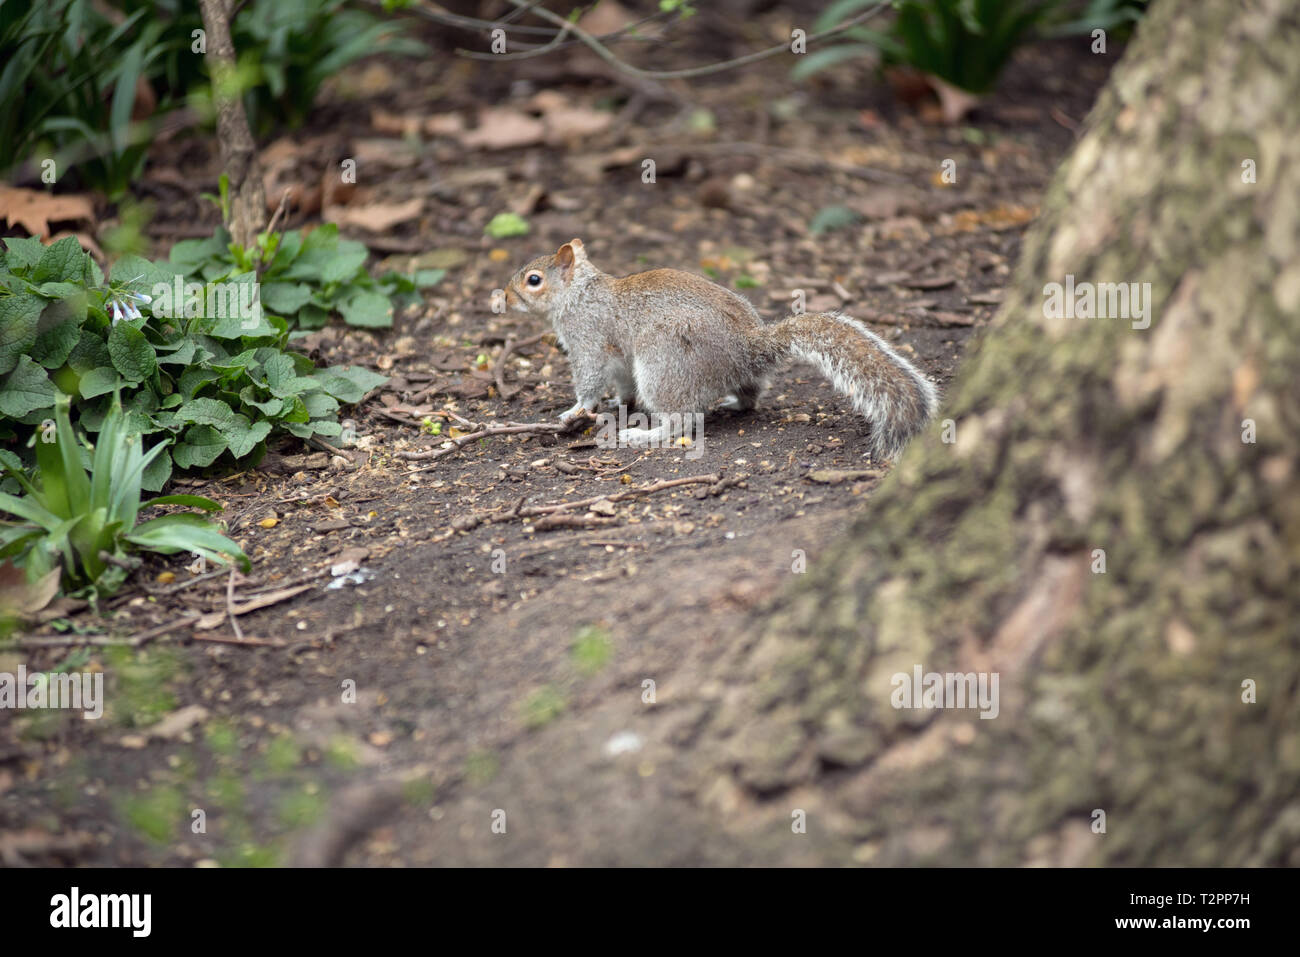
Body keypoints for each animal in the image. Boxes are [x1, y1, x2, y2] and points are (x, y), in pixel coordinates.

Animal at [503, 239, 938, 461]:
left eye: (533, 280)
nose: (503, 297)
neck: (580, 294)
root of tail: (746, 347)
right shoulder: (619, 359)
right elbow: (622, 386)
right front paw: (617, 403)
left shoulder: (588, 339)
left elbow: (590, 381)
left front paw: (577, 410)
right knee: (751, 394)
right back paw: (732, 402)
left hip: (663, 360)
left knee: (681, 421)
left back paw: (646, 435)